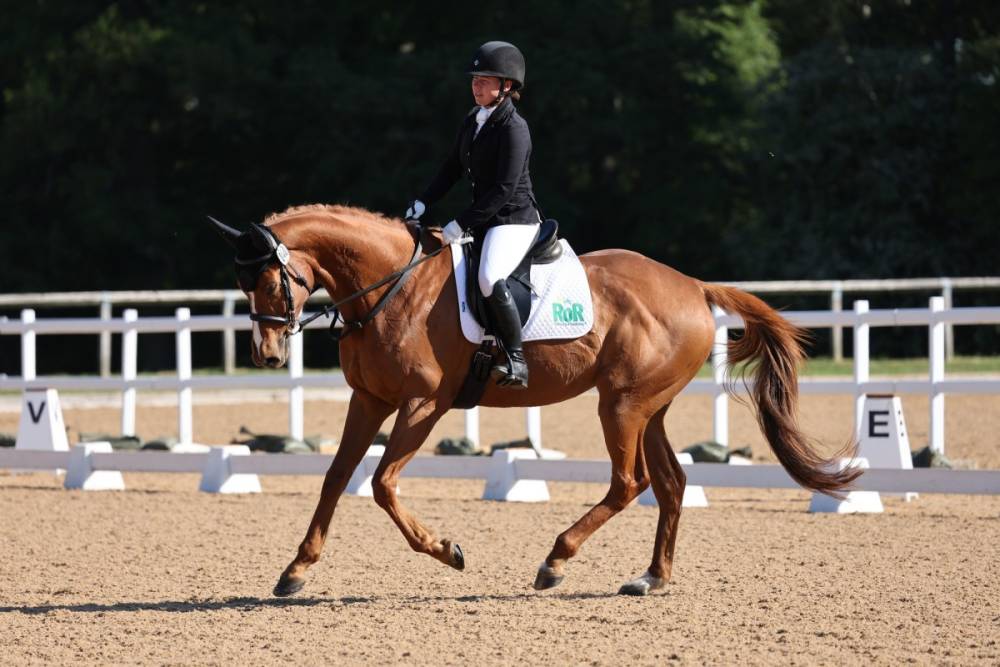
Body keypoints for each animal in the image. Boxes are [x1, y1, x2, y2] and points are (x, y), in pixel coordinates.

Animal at [209, 203, 859, 597]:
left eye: (269, 280)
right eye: (241, 283)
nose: (267, 355)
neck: (391, 287)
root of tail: (693, 286)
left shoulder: (424, 404)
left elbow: (383, 483)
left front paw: (447, 551)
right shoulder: (368, 400)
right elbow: (335, 478)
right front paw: (295, 571)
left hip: (620, 405)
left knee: (630, 482)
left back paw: (555, 561)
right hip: (648, 407)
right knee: (670, 483)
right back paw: (650, 578)